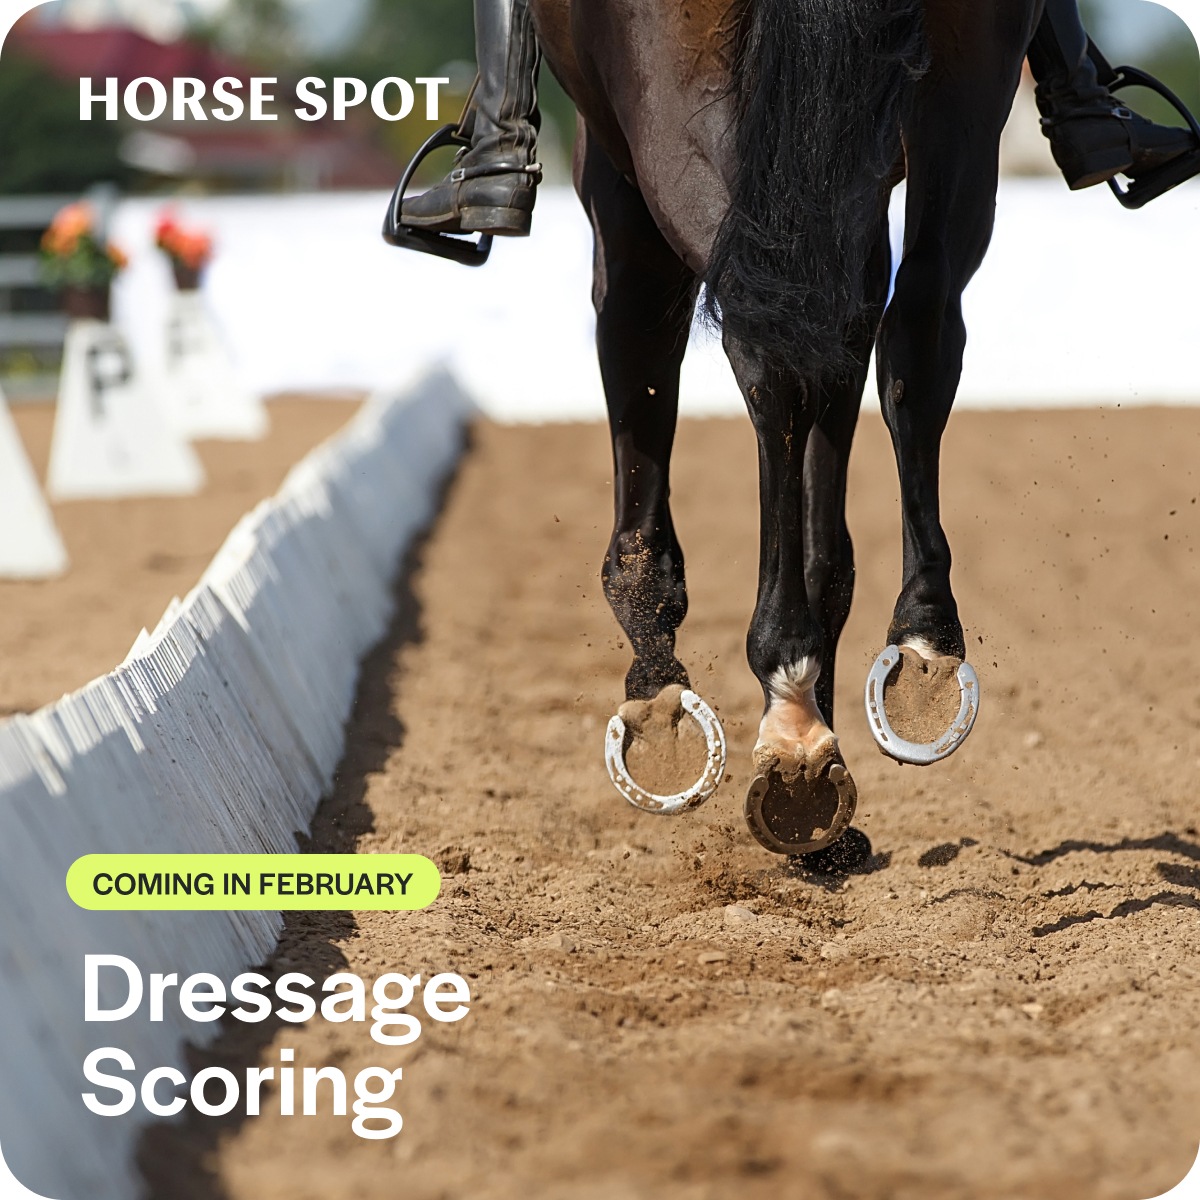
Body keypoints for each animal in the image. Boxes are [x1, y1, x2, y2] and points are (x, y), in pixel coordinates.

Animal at [525, 0, 1038, 856]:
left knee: (762, 339)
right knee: (906, 319)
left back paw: (789, 706)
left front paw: (658, 687)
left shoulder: (612, 172)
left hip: (673, 105)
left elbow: (638, 340)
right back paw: (913, 641)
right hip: (961, 92)